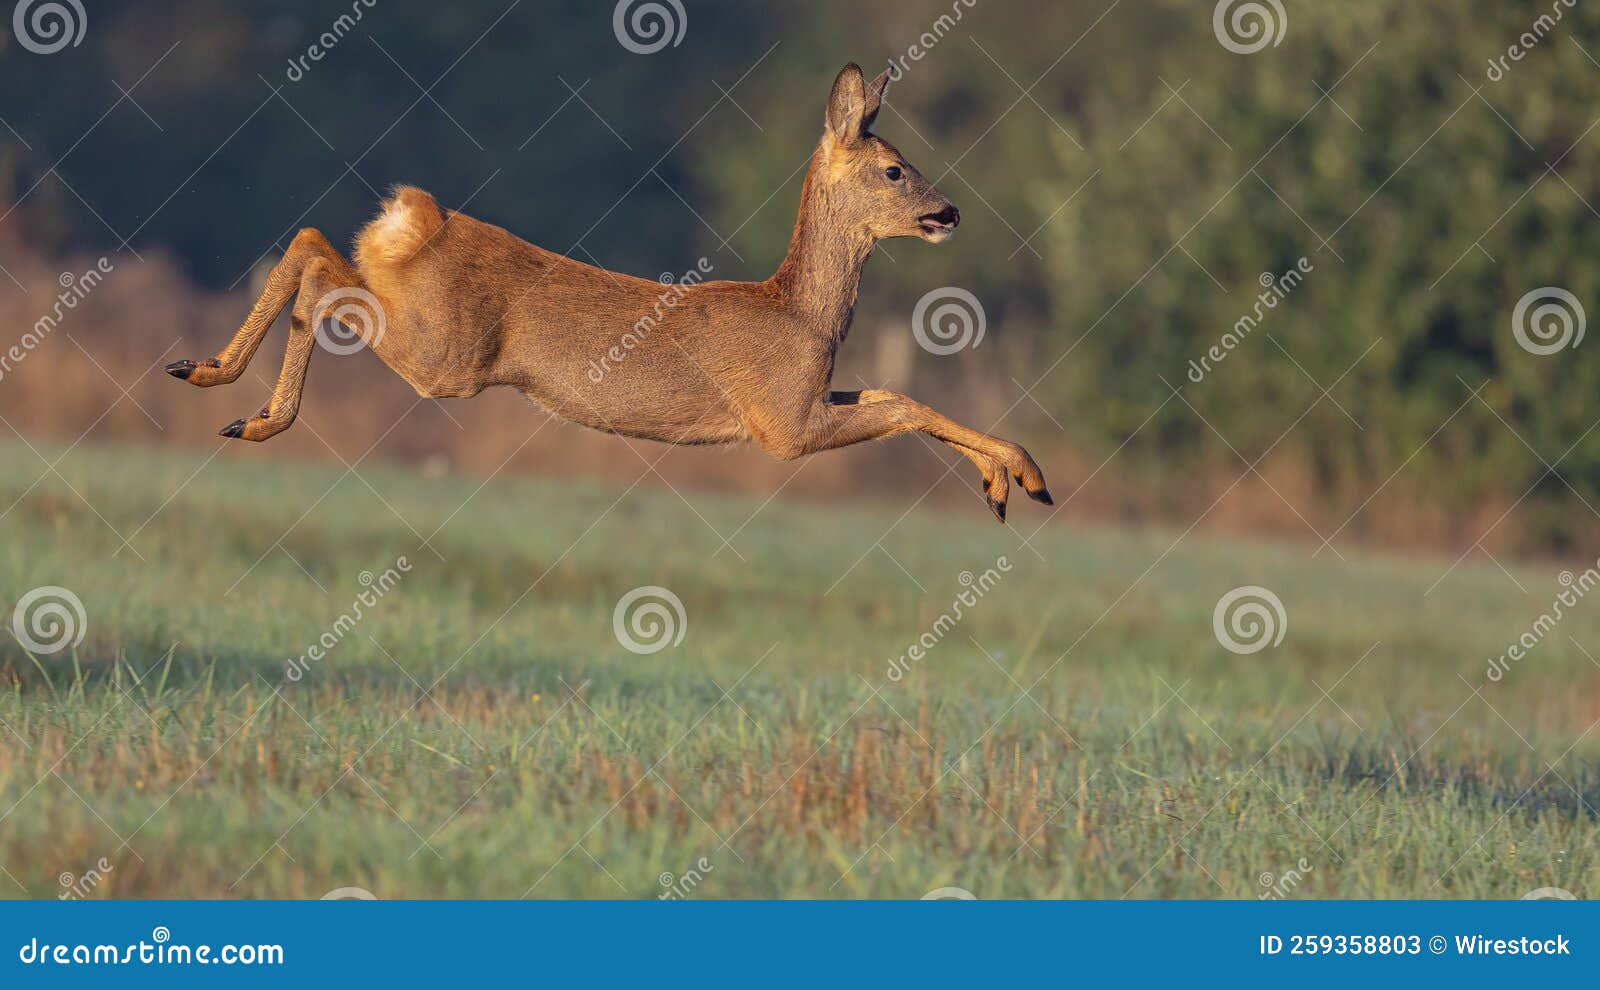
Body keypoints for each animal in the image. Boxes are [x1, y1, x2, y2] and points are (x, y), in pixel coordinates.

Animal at [164, 62, 1052, 522]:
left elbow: (892, 392)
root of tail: (413, 218)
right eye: (895, 169)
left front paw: (1000, 481)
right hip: (443, 355)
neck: (801, 313)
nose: (949, 212)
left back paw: (211, 381)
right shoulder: (780, 425)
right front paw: (1026, 476)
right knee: (321, 276)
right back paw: (247, 408)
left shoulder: (808, 398)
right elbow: (902, 405)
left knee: (313, 246)